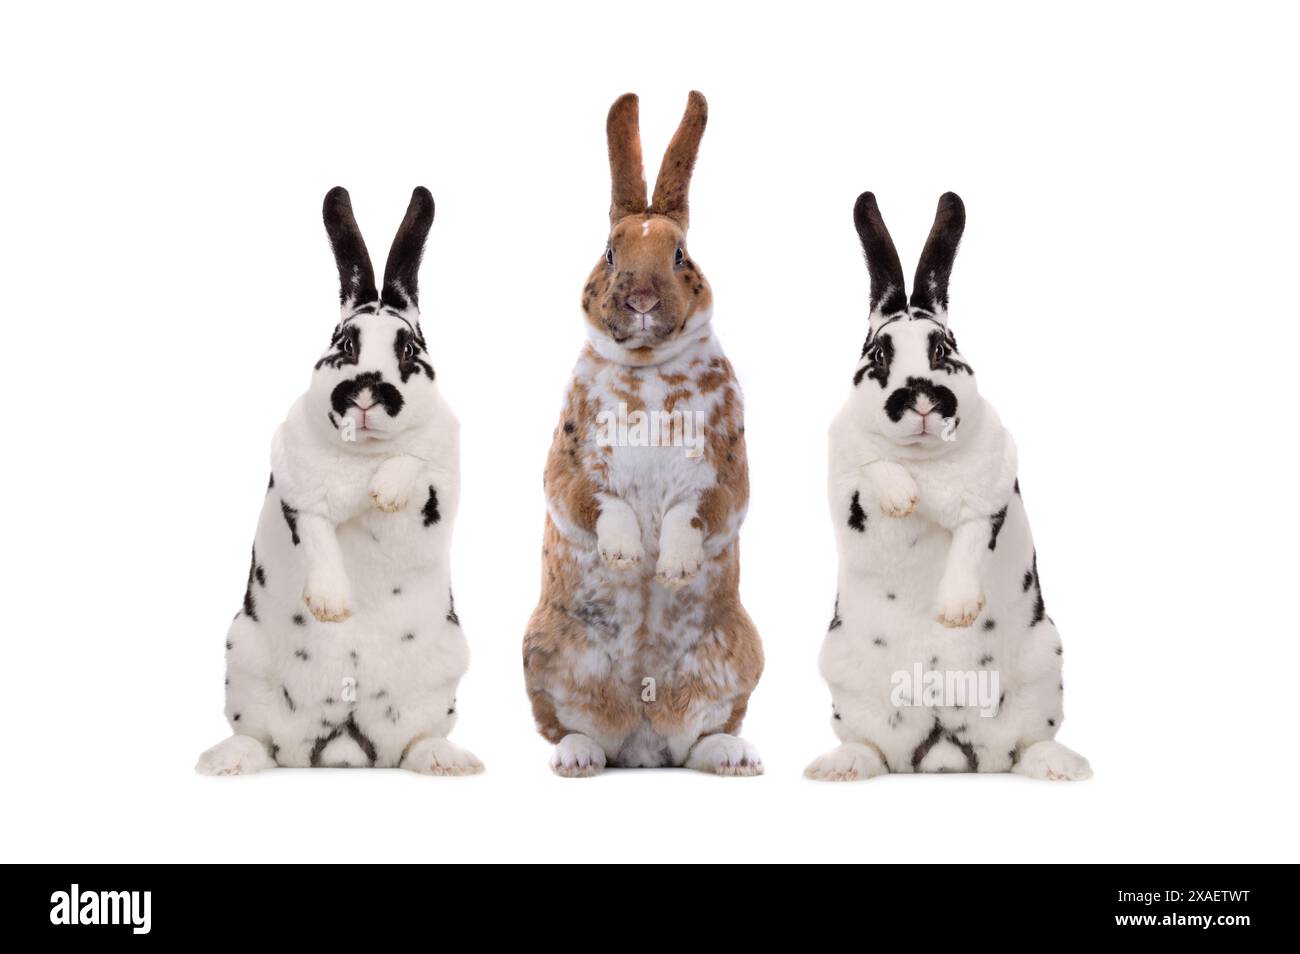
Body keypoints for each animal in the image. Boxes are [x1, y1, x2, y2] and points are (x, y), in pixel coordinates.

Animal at [196, 187, 482, 776]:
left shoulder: (442, 464)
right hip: (243, 662)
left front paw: (385, 492)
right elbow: (319, 540)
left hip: (444, 671)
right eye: (344, 345)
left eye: (408, 349)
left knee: (415, 743)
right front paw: (332, 606)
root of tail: (344, 745)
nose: (367, 392)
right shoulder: (297, 491)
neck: (363, 455)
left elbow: (413, 458)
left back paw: (449, 762)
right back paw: (225, 761)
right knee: (260, 741)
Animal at [523, 92, 764, 777]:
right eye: (610, 251)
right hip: (541, 651)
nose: (642, 298)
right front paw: (628, 557)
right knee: (568, 729)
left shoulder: (724, 471)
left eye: (680, 255)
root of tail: (643, 743)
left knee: (702, 737)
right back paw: (578, 759)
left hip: (741, 655)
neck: (649, 366)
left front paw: (674, 568)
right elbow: (596, 503)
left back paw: (734, 757)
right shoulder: (571, 464)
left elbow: (696, 512)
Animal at [805, 192, 1091, 782]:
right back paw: (838, 767)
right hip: (843, 677)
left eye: (944, 350)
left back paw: (1062, 767)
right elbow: (874, 464)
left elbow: (968, 545)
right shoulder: (845, 470)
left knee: (1027, 746)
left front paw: (955, 612)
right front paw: (901, 498)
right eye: (879, 354)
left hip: (1044, 669)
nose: (921, 398)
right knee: (872, 748)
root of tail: (943, 750)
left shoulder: (991, 496)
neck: (925, 460)